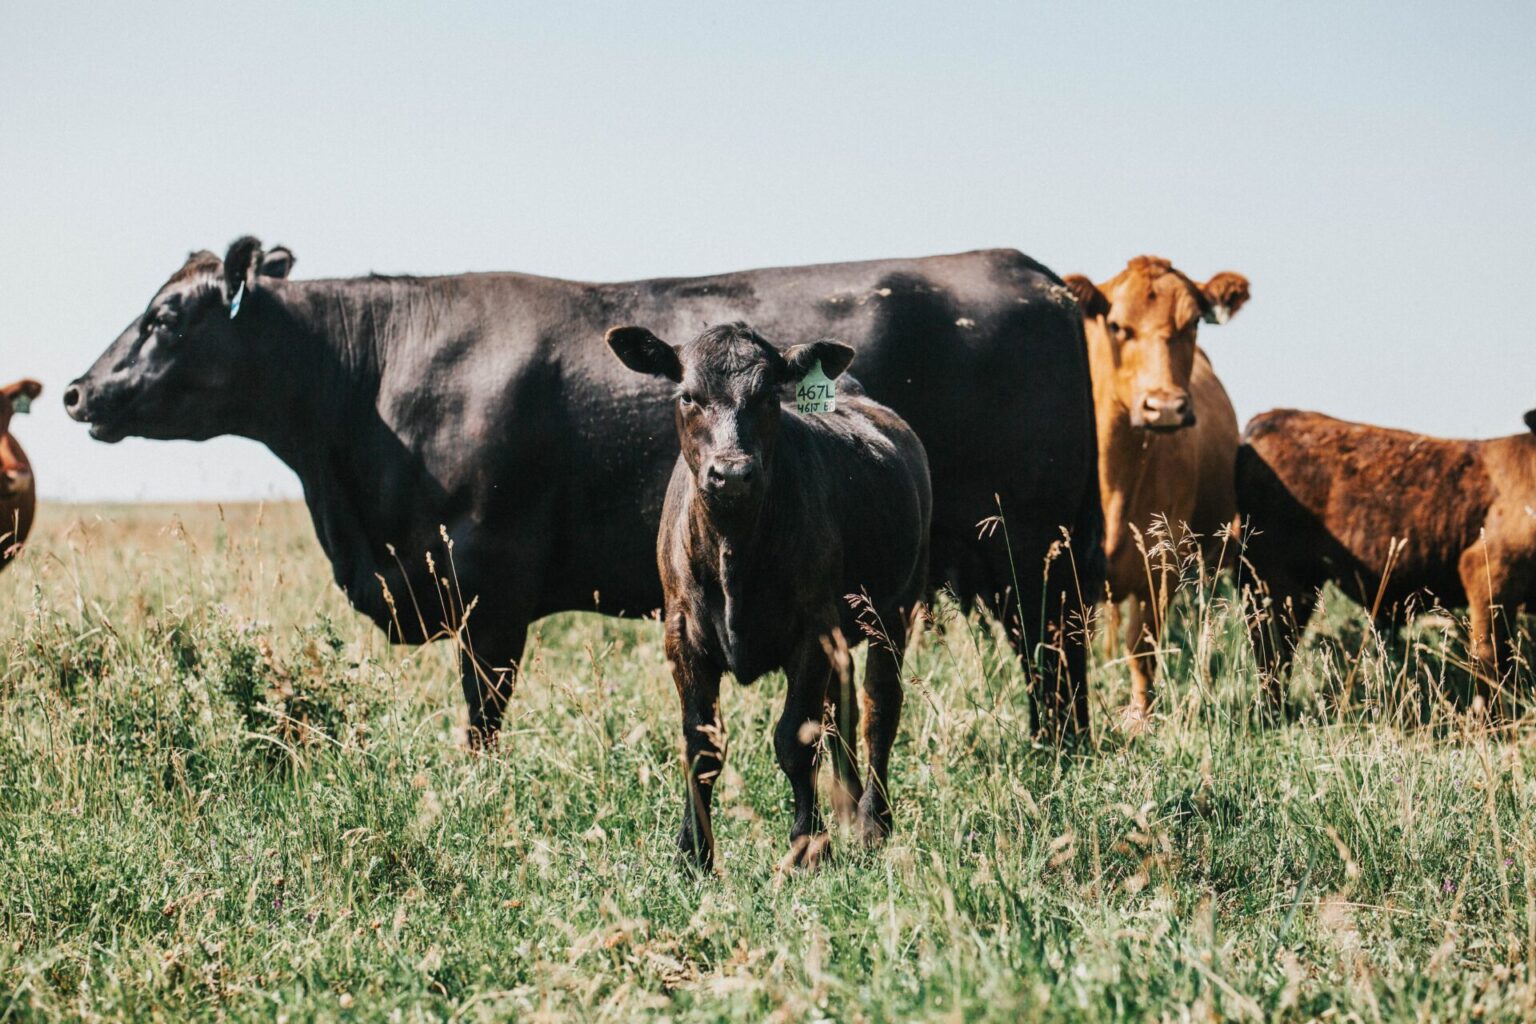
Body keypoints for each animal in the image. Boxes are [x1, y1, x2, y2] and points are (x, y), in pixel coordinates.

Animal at [66, 237, 1103, 745]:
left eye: (167, 315)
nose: (76, 390)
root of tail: (1034, 274)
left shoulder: (488, 583)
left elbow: (482, 717)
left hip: (1040, 552)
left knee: (1057, 668)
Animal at [606, 321, 930, 869]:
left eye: (767, 396)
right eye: (688, 395)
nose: (732, 473)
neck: (734, 547)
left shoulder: (812, 630)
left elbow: (795, 739)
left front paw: (807, 846)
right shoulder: (682, 635)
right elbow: (701, 746)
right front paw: (693, 852)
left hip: (894, 608)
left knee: (879, 706)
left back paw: (872, 822)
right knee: (839, 707)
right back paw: (847, 807)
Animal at [1062, 256, 1250, 719]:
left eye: (1193, 322)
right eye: (1116, 325)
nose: (1164, 406)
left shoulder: (1161, 563)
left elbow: (1141, 648)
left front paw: (1140, 716)